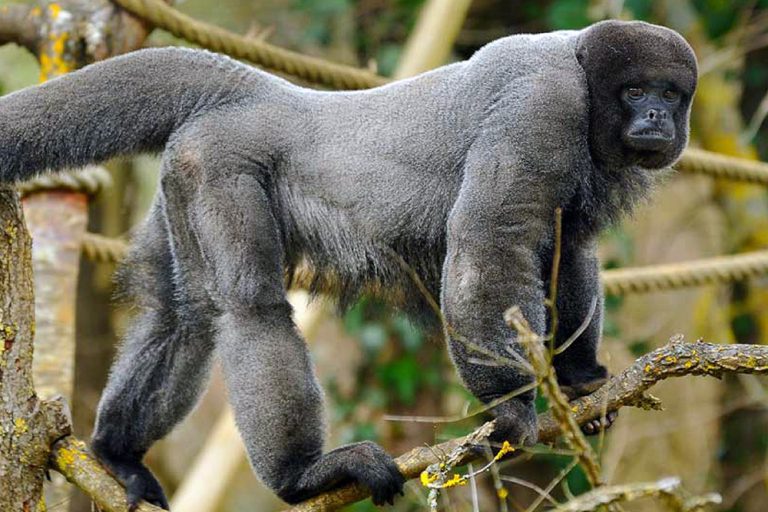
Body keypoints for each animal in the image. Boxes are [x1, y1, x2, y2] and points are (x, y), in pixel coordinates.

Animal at [0, 19, 697, 510]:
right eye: (636, 91)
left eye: (670, 94)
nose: (656, 117)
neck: (581, 68)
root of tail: (267, 96)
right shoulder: (542, 107)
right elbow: (486, 242)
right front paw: (513, 404)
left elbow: (568, 249)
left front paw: (579, 381)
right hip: (222, 164)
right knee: (250, 310)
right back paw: (302, 477)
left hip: (186, 170)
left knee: (185, 317)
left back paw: (115, 453)